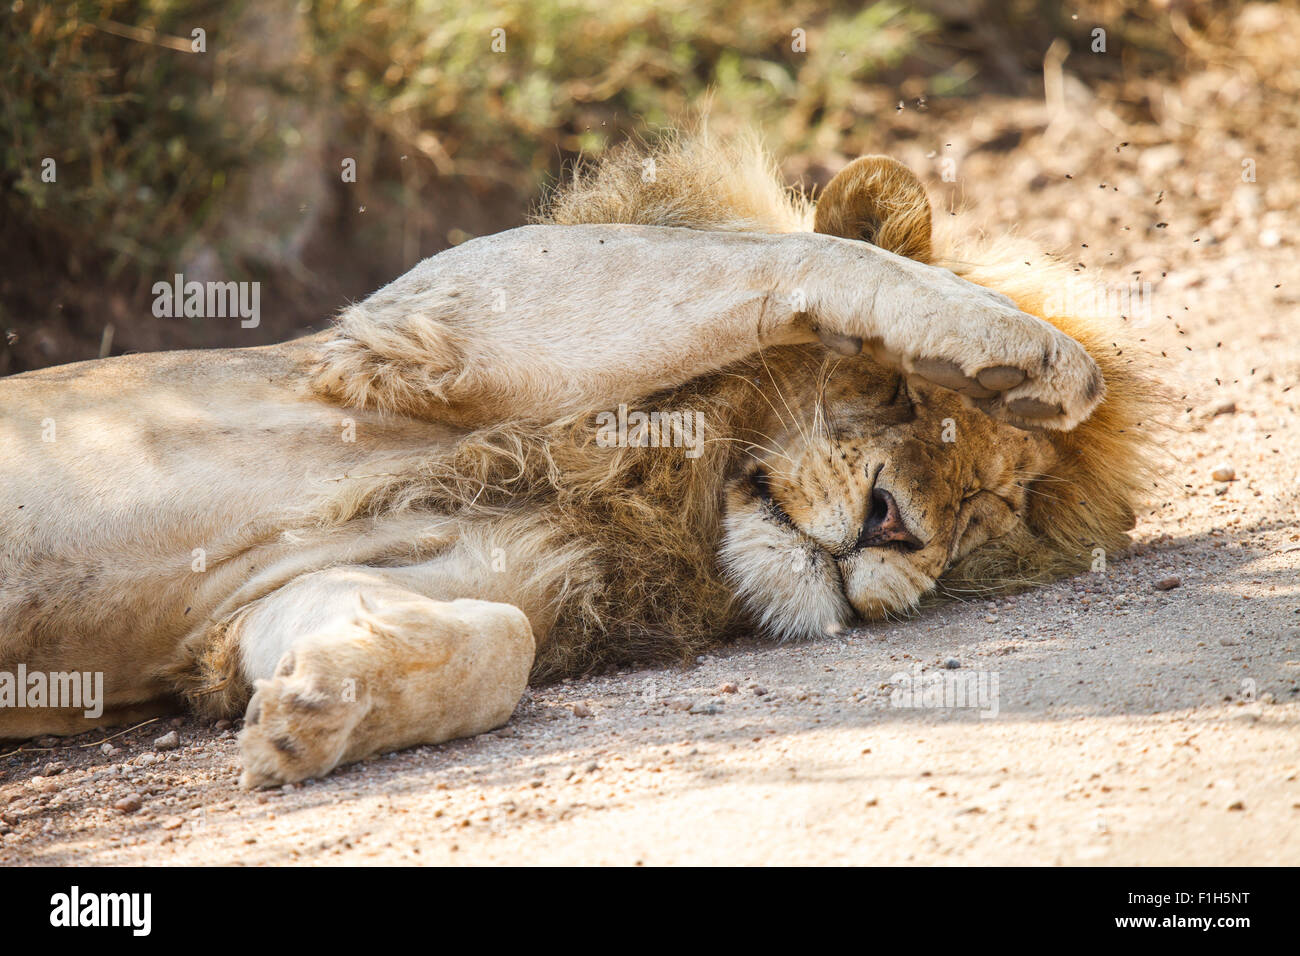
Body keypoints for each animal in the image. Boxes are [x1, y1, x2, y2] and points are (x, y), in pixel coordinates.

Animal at [0, 132, 1158, 787]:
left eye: (983, 504)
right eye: (904, 395)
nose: (894, 527)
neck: (663, 487)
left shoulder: (266, 600)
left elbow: (494, 643)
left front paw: (318, 711)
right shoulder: (455, 323)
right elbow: (793, 255)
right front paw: (1025, 351)